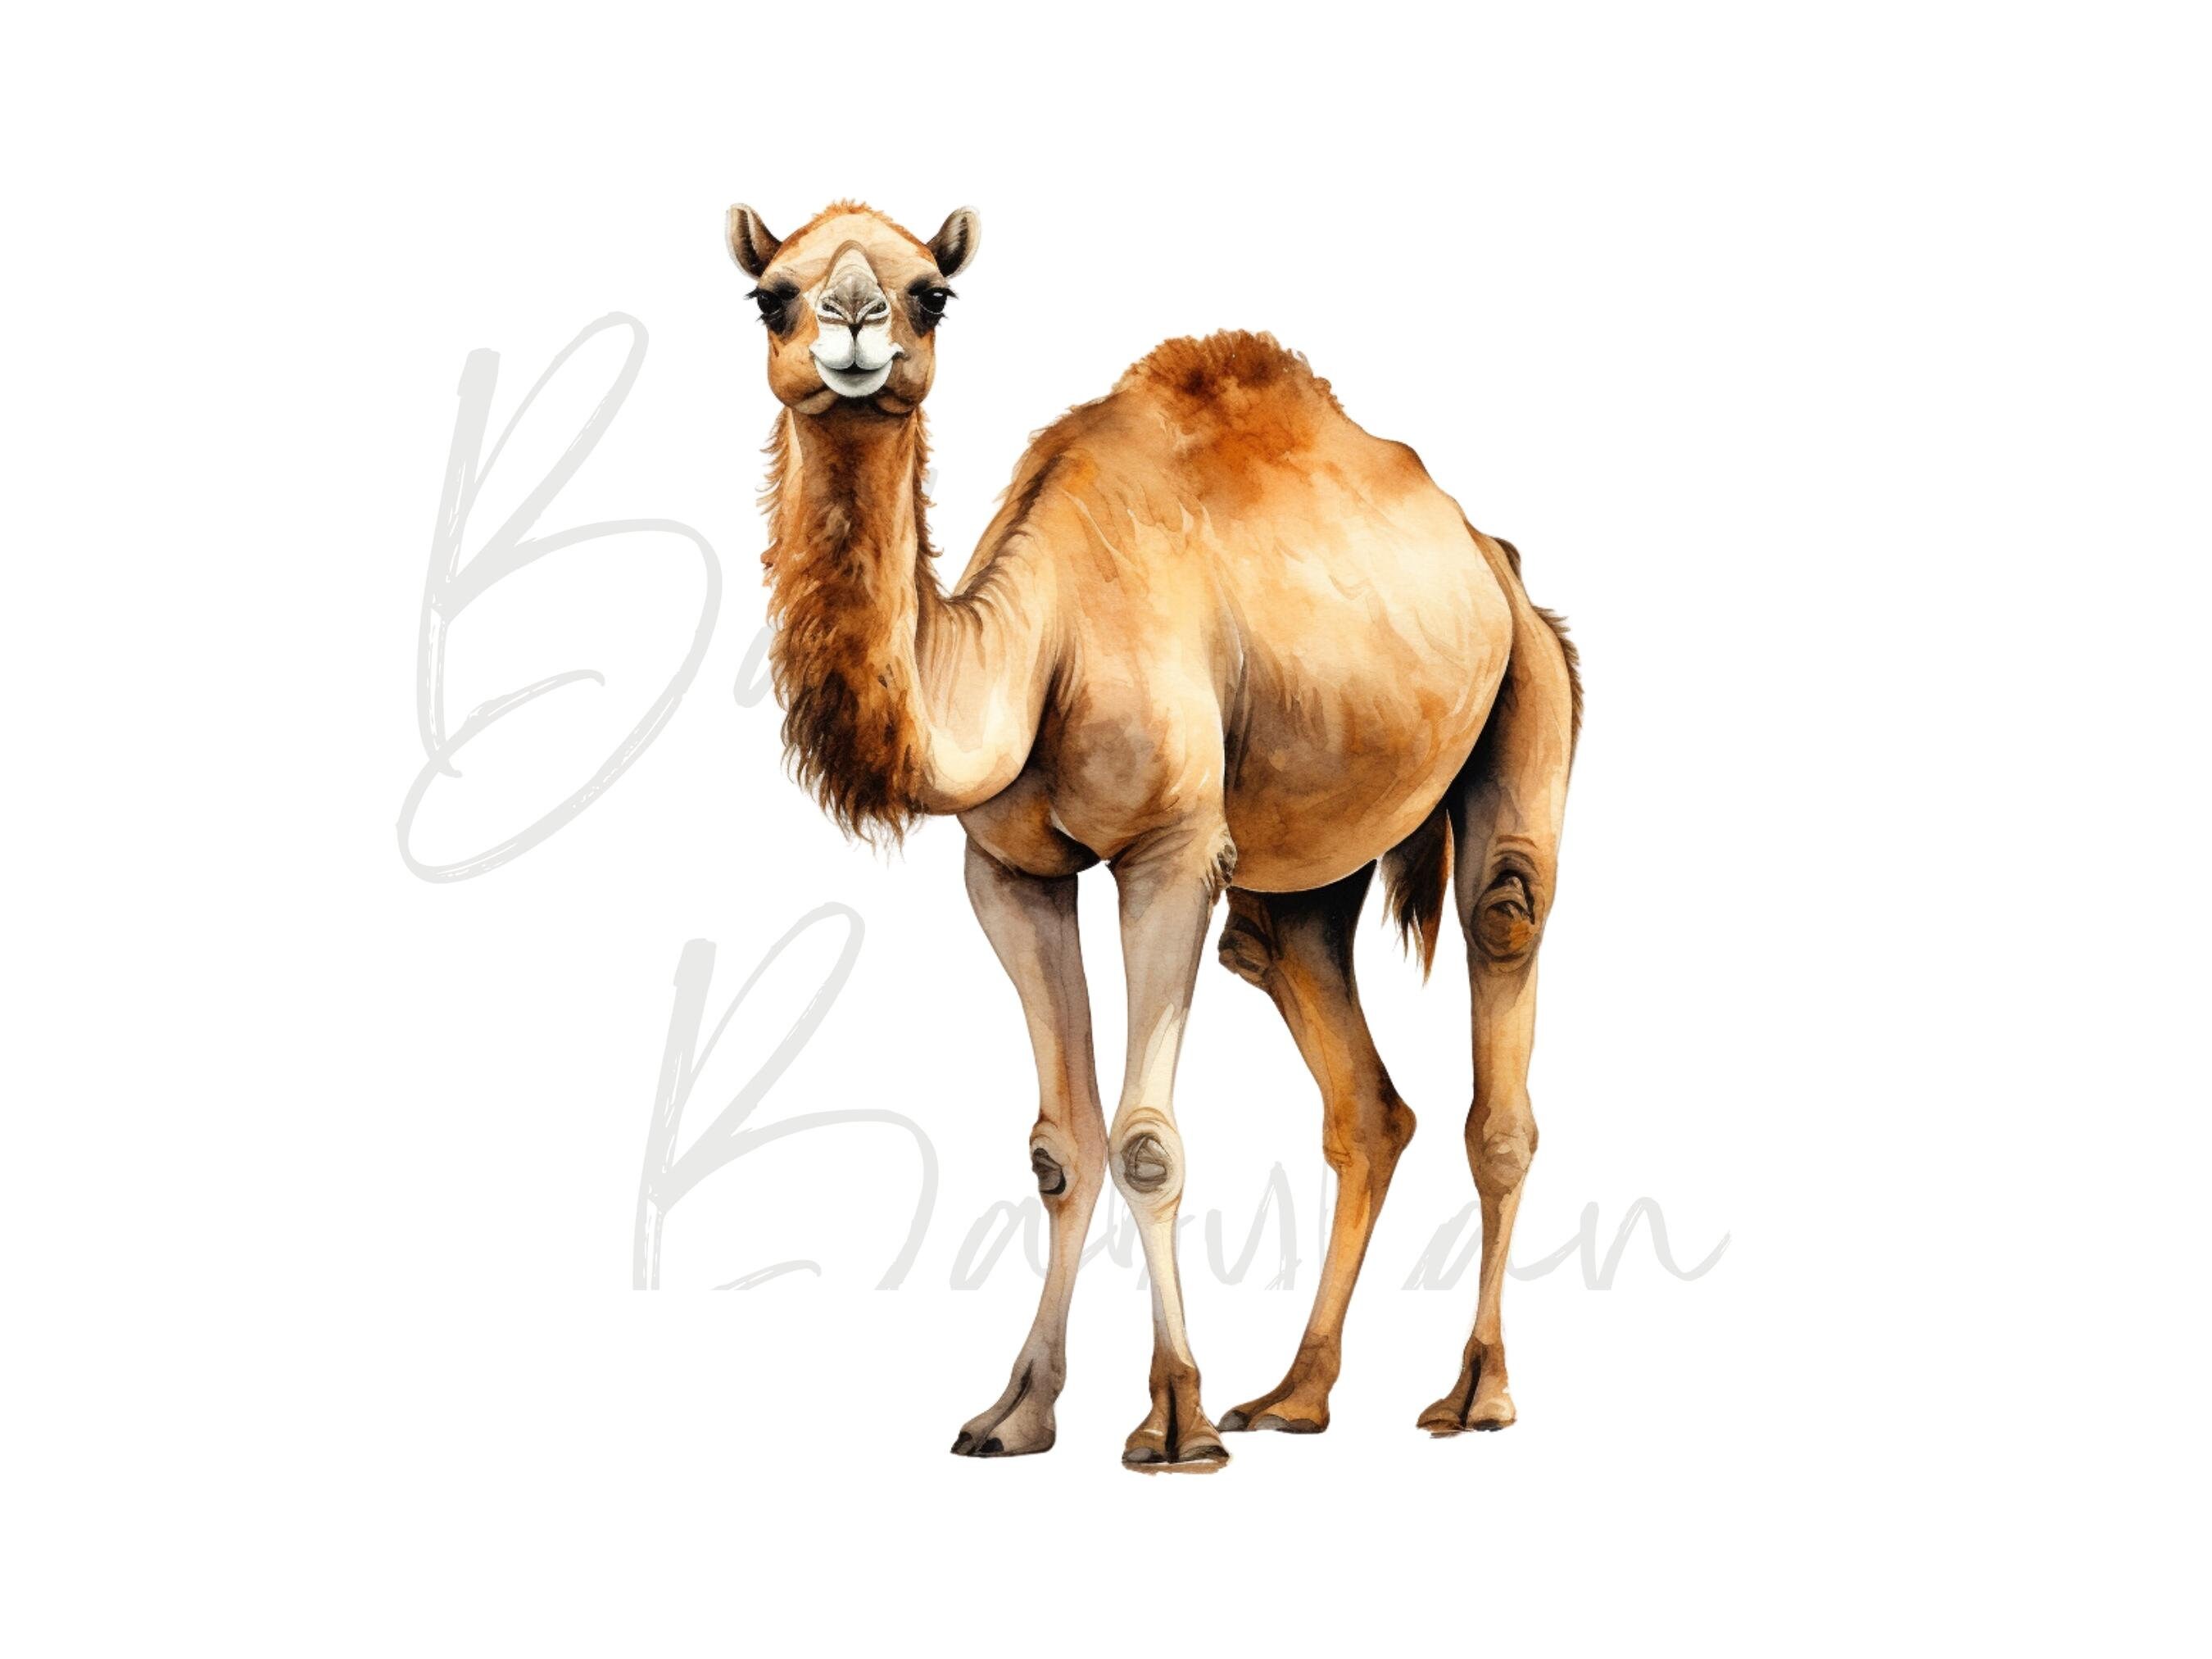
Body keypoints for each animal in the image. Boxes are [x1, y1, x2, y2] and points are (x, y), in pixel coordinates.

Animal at [727, 200, 1580, 1471]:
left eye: (933, 292)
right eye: (768, 295)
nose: (854, 324)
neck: (1037, 644)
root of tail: (1492, 558)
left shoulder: (1170, 853)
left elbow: (1144, 1141)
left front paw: (1175, 1418)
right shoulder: (1011, 873)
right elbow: (1061, 1144)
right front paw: (1016, 1411)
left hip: (1527, 701)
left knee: (1503, 981)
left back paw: (1475, 1392)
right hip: (1300, 864)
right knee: (1349, 1076)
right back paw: (1296, 1394)